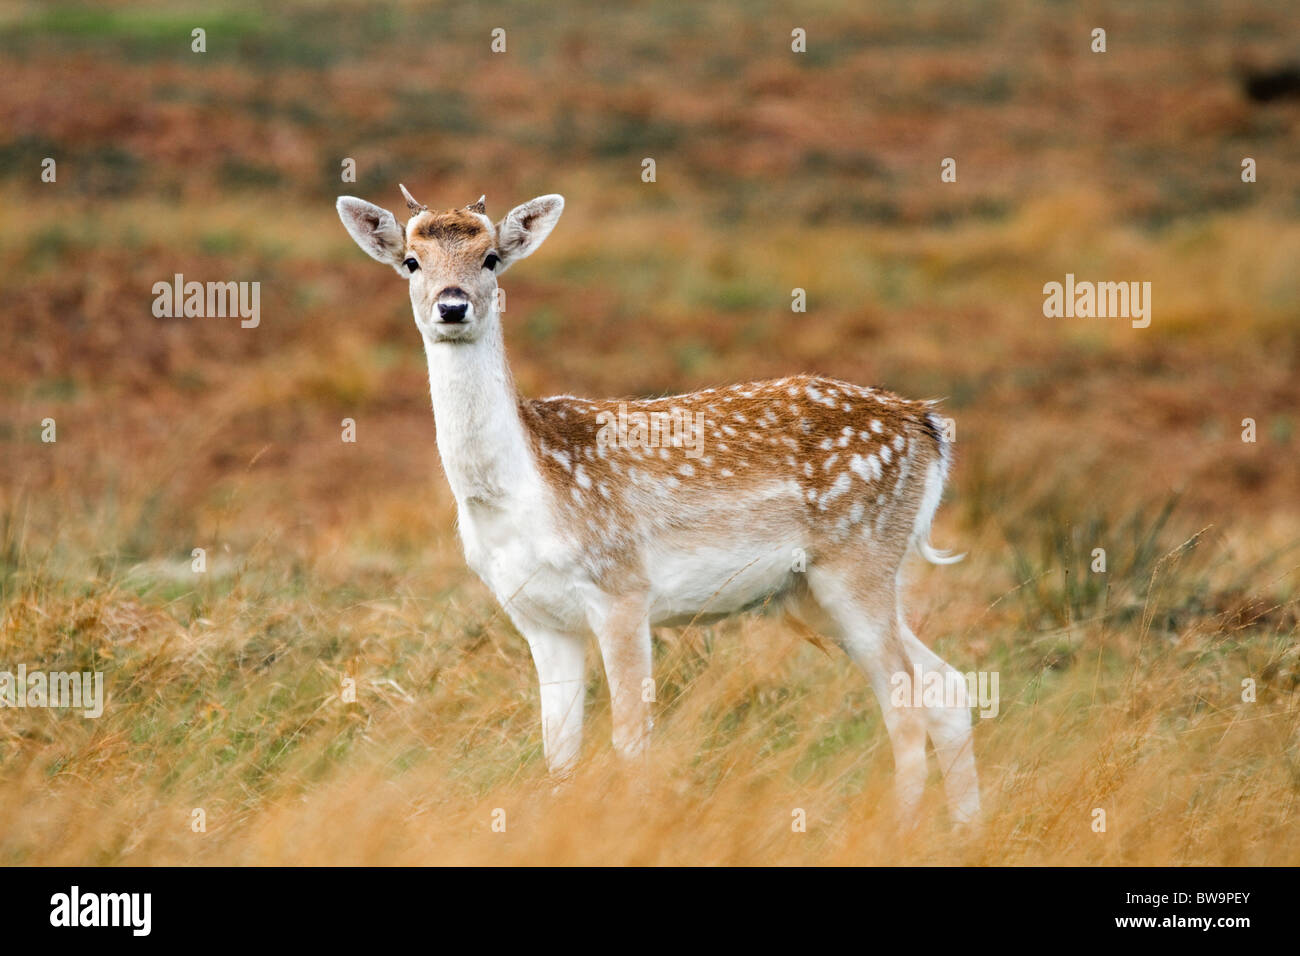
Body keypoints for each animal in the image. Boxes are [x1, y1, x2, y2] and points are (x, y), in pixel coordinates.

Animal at [336, 185, 980, 825]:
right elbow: (558, 755)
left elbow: (630, 743)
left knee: (904, 707)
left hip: (859, 557)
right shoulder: (536, 616)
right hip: (812, 591)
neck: (525, 491)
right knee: (944, 686)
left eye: (491, 258)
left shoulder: (622, 587)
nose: (452, 306)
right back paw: (964, 830)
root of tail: (927, 424)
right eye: (411, 262)